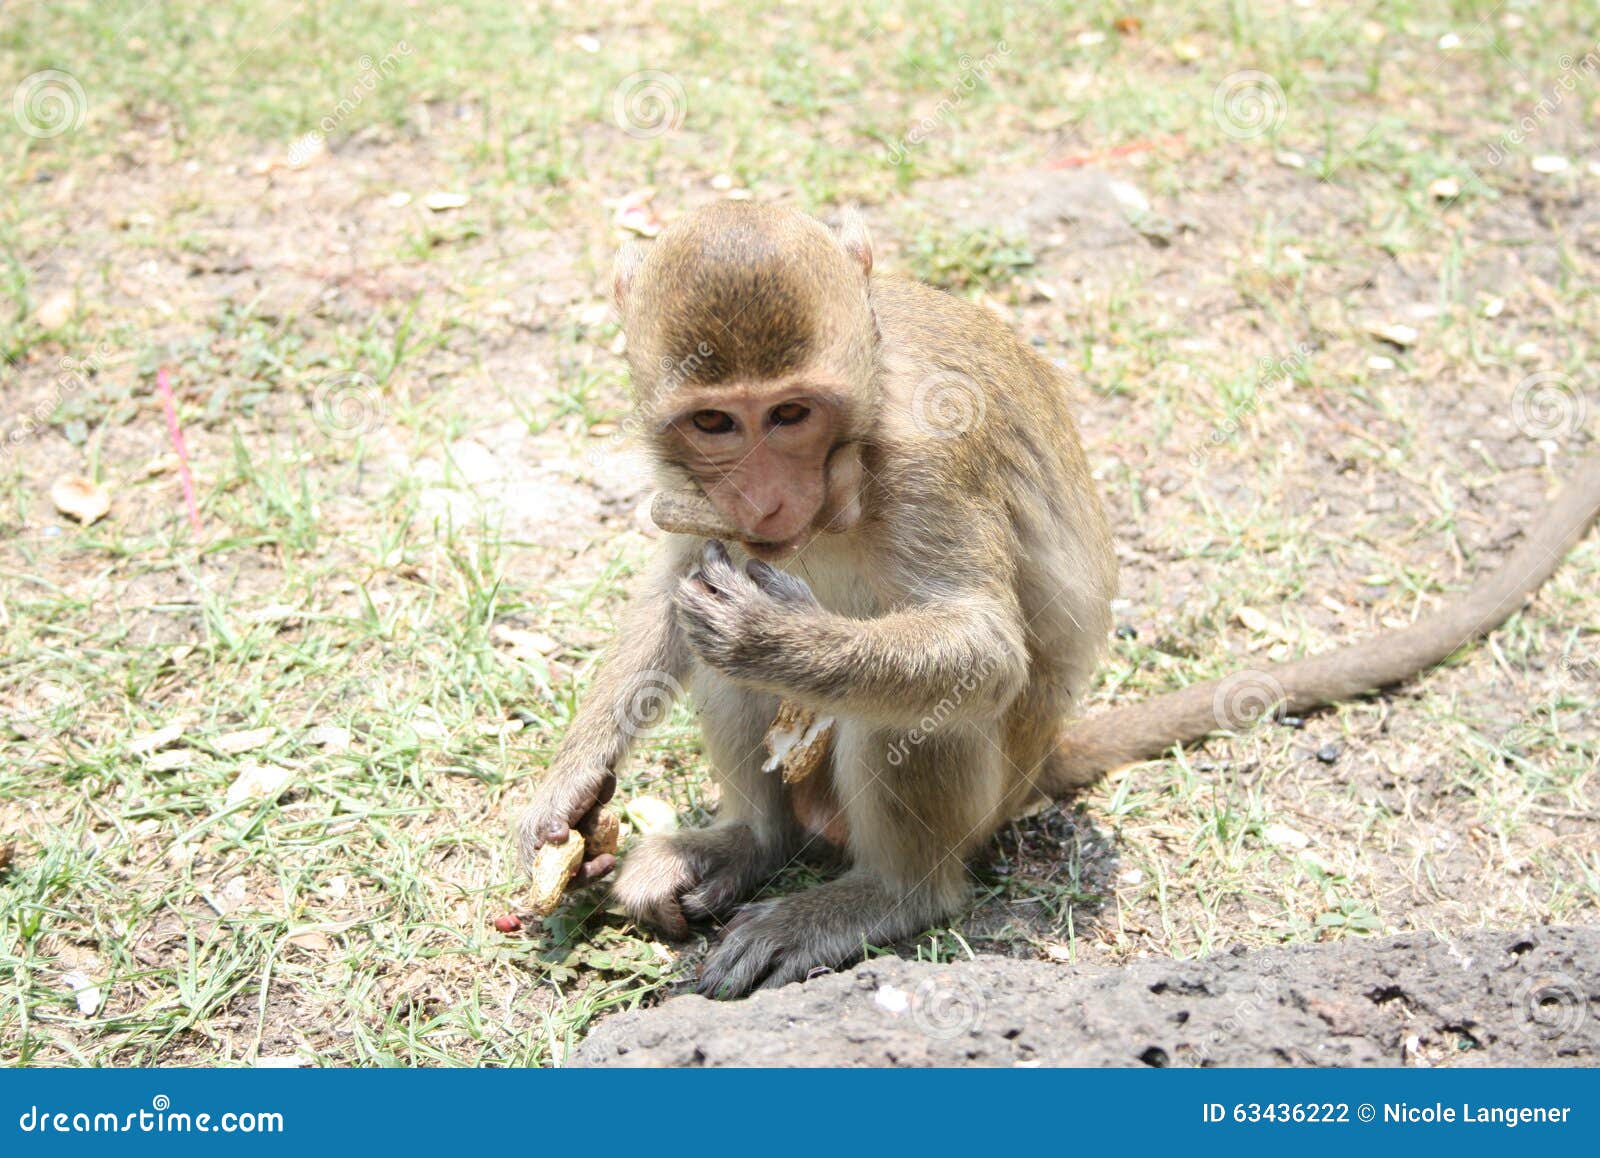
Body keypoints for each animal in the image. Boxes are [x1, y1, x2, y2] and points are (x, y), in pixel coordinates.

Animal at [515, 201, 1600, 999]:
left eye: (789, 413)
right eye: (715, 424)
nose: (766, 499)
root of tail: (1044, 763)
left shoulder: (931, 449)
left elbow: (984, 651)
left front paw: (774, 635)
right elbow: (678, 580)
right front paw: (573, 780)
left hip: (989, 789)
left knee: (920, 717)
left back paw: (888, 896)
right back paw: (755, 841)